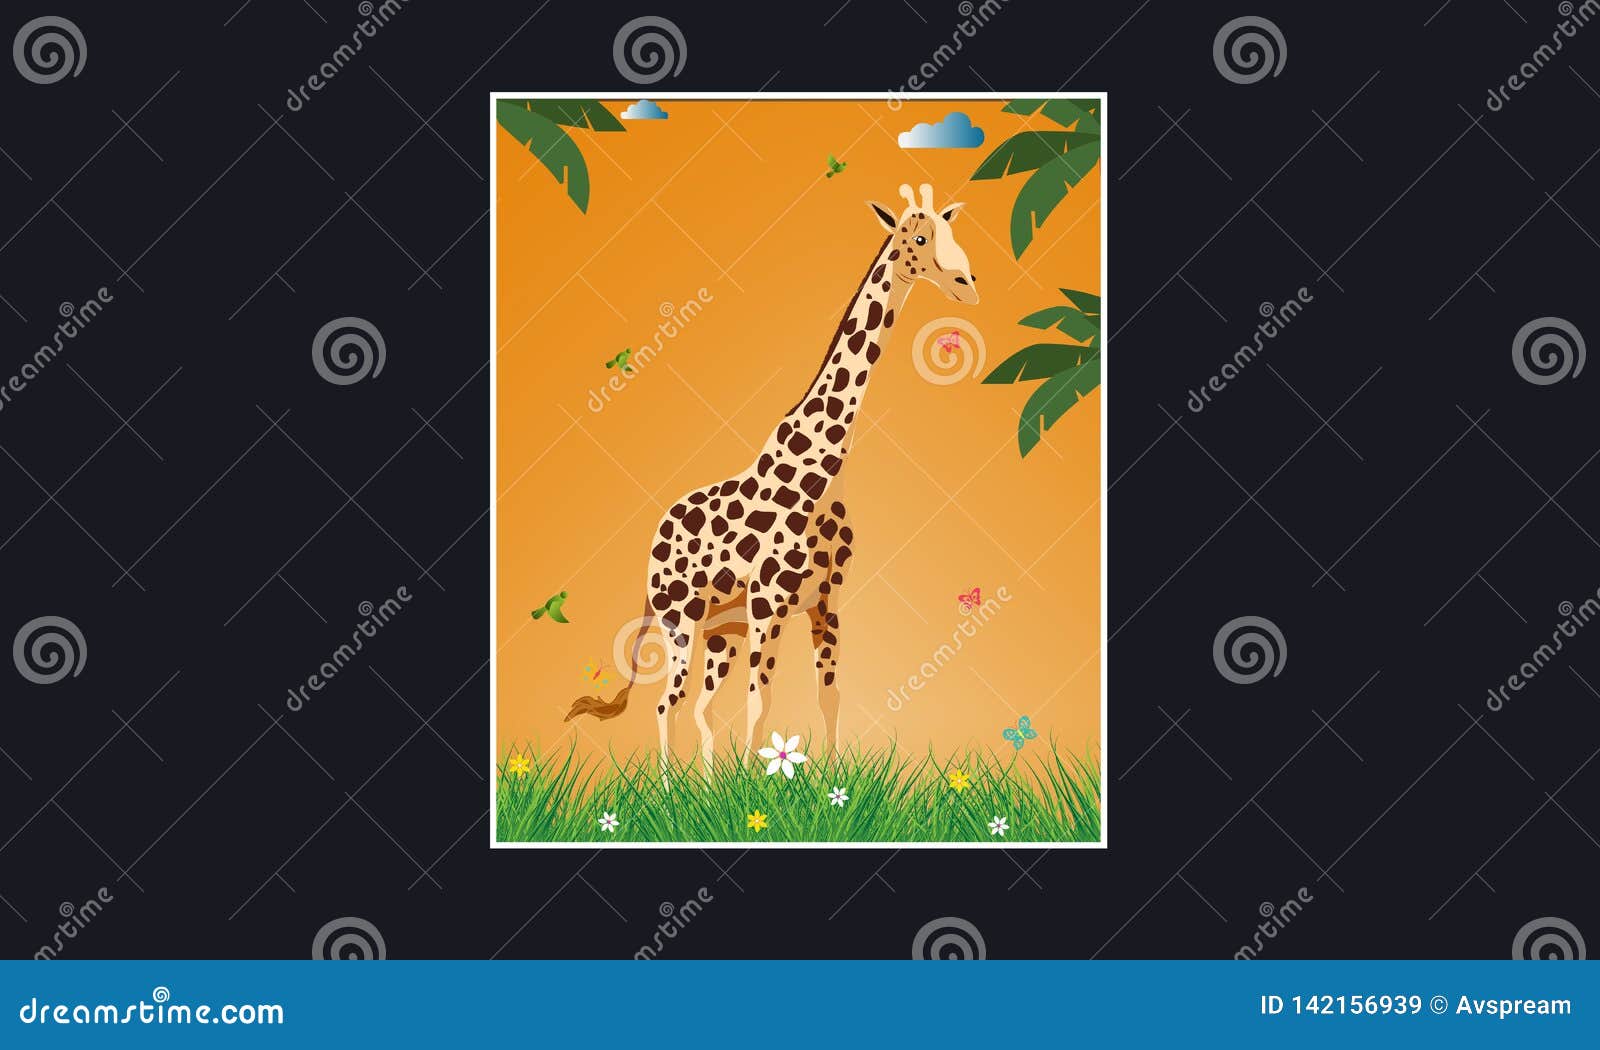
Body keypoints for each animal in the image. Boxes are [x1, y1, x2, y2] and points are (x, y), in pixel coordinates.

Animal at [565, 183, 979, 778]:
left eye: (951, 232)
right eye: (918, 238)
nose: (968, 284)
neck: (825, 469)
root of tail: (654, 541)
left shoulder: (826, 601)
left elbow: (828, 696)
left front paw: (828, 788)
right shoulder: (768, 602)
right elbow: (760, 704)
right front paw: (761, 786)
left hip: (722, 632)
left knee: (702, 706)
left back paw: (705, 789)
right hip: (679, 618)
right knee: (670, 702)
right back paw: (668, 794)